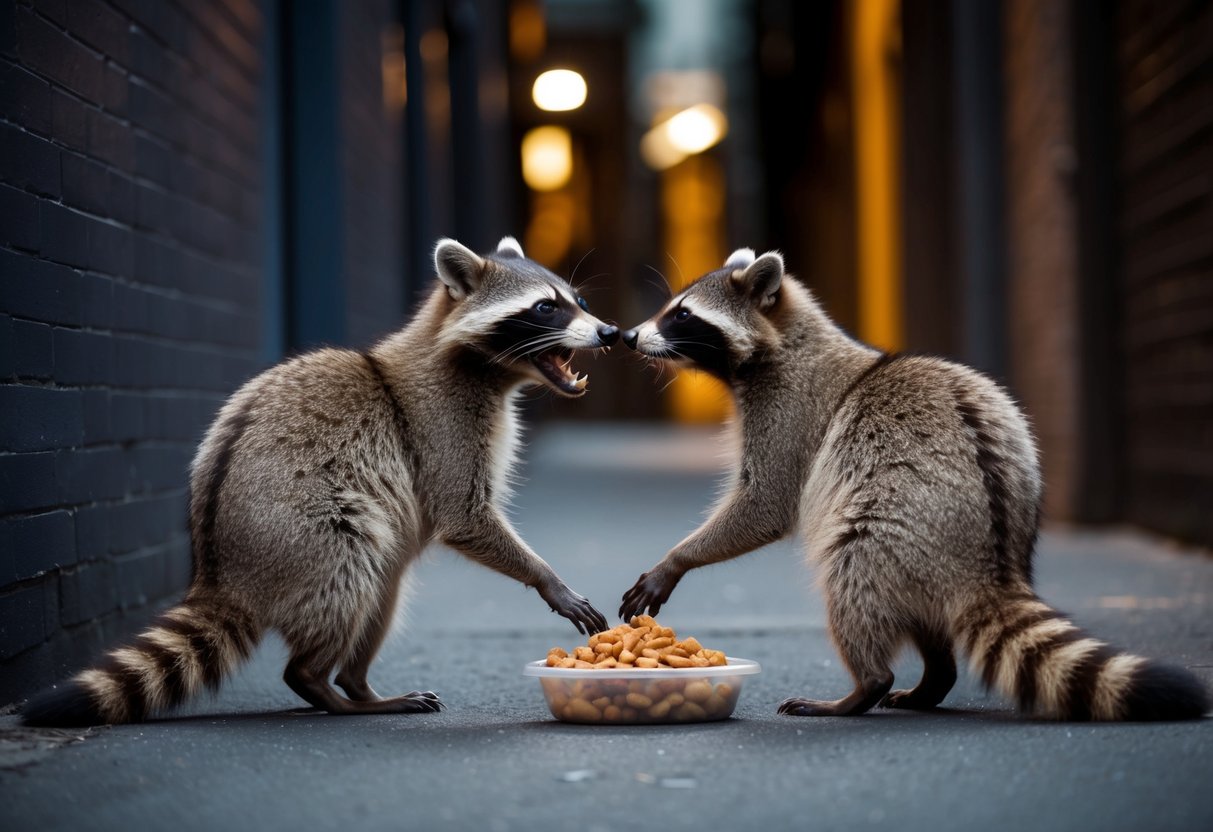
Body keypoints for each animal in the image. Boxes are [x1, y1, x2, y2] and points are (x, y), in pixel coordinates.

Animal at [23, 237, 615, 726]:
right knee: (349, 577)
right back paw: (323, 684)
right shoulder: (441, 425)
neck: (482, 367)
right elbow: (462, 514)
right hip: (309, 533)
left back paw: (356, 682)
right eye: (545, 307)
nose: (610, 332)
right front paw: (547, 578)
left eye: (577, 301)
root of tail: (221, 575)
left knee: (382, 591)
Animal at [619, 247, 1208, 721]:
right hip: (924, 553)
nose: (628, 335)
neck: (788, 340)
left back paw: (864, 687)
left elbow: (766, 502)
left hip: (895, 525)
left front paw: (678, 560)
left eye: (683, 315)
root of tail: (991, 563)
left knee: (850, 574)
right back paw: (934, 677)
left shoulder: (790, 413)